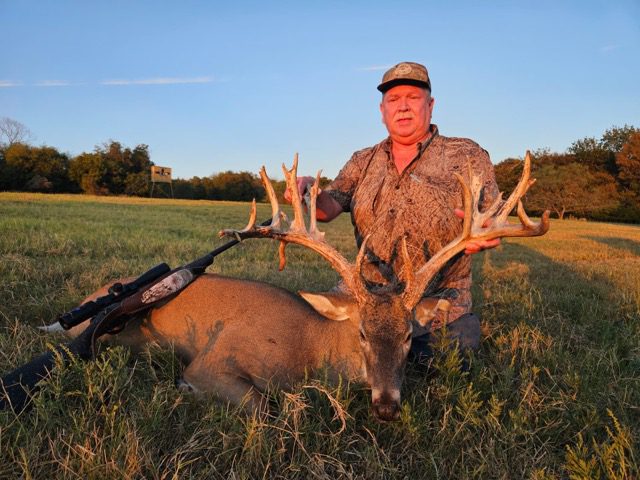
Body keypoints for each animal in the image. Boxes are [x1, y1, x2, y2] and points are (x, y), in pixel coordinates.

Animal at [64, 151, 549, 421]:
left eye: (410, 335)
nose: (386, 407)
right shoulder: (212, 360)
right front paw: (185, 391)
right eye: (361, 333)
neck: (310, 347)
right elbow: (261, 406)